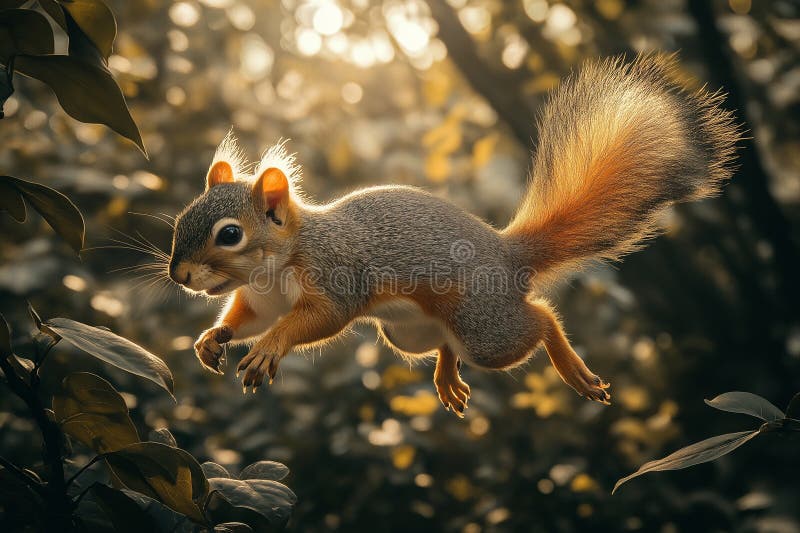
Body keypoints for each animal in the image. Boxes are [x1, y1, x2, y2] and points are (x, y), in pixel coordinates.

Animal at [167, 54, 740, 417]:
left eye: (230, 235)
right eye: (179, 221)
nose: (179, 275)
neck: (277, 264)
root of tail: (507, 253)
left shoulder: (336, 276)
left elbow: (313, 320)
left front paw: (270, 347)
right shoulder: (261, 299)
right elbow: (247, 319)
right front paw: (211, 339)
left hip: (484, 326)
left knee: (539, 319)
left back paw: (570, 367)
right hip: (409, 333)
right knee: (445, 342)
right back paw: (446, 377)